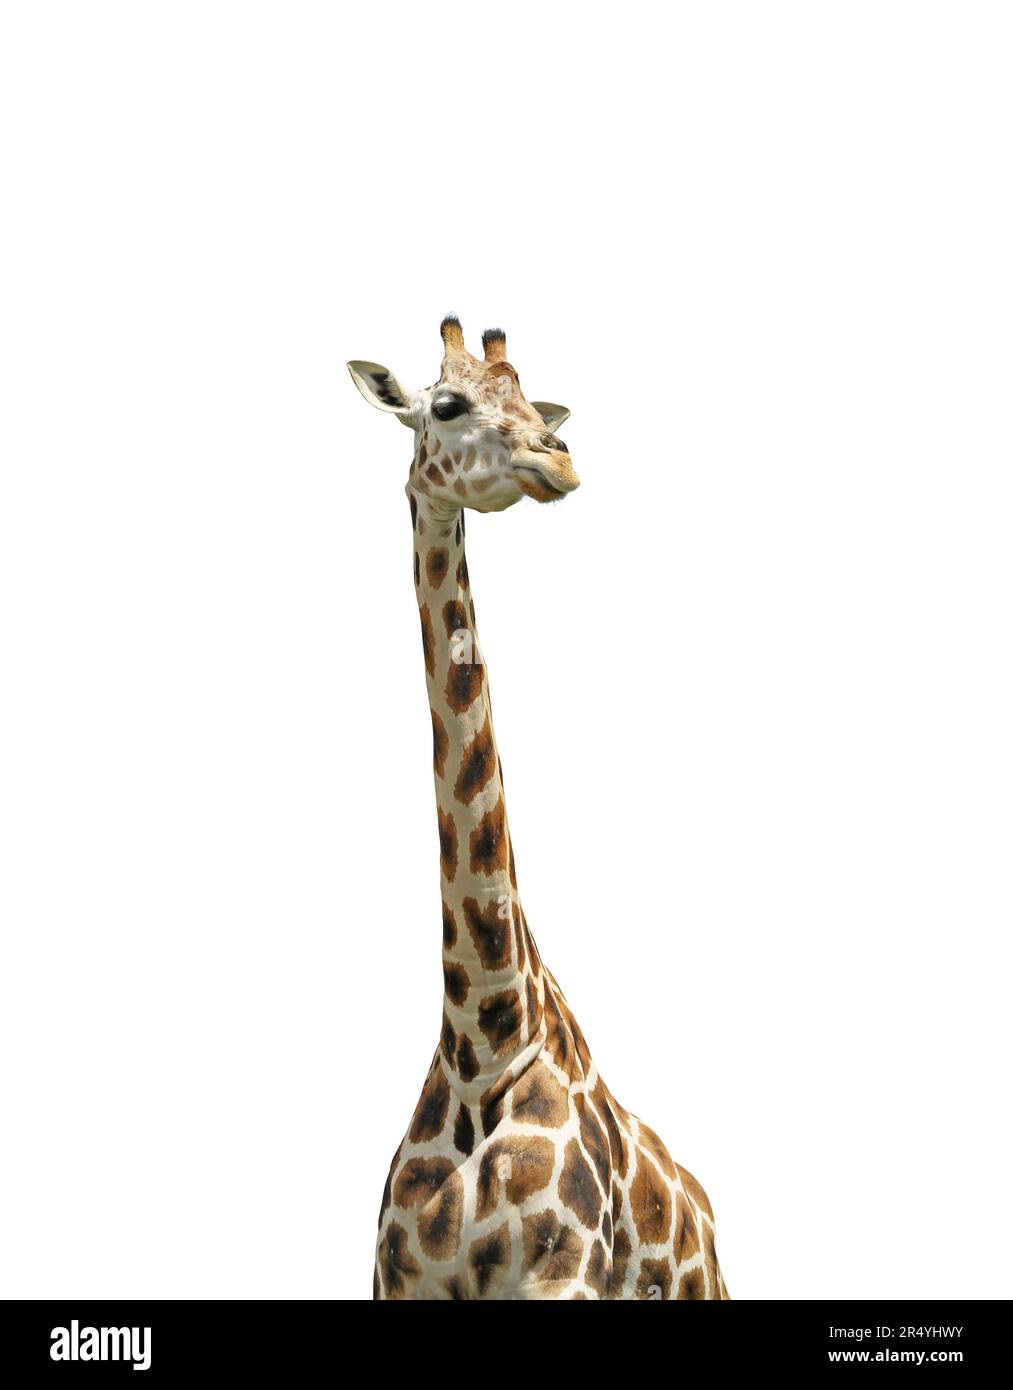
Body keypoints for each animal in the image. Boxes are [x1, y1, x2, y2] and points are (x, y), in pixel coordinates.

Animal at [348, 317, 729, 1301]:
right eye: (447, 404)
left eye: (530, 399)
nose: (558, 459)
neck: (483, 1036)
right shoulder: (396, 1281)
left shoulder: (561, 1275)